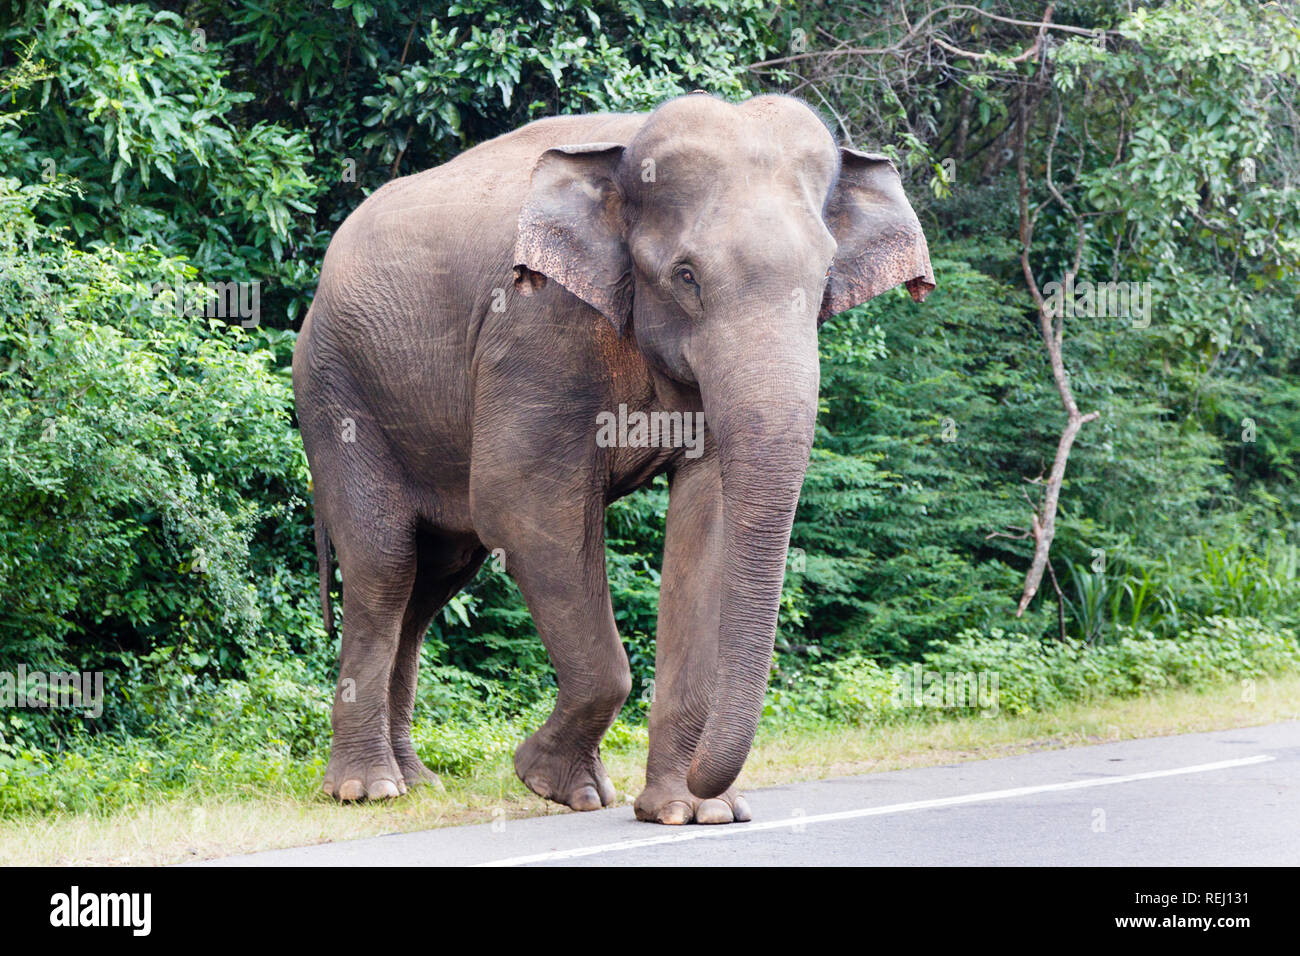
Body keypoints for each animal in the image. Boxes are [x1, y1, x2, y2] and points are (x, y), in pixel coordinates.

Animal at [292, 92, 933, 825]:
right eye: (686, 276)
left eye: (825, 277)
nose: (717, 789)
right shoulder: (533, 324)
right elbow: (520, 502)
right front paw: (554, 784)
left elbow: (707, 523)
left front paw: (690, 814)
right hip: (334, 388)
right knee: (386, 566)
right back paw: (367, 790)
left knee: (432, 581)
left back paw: (417, 782)